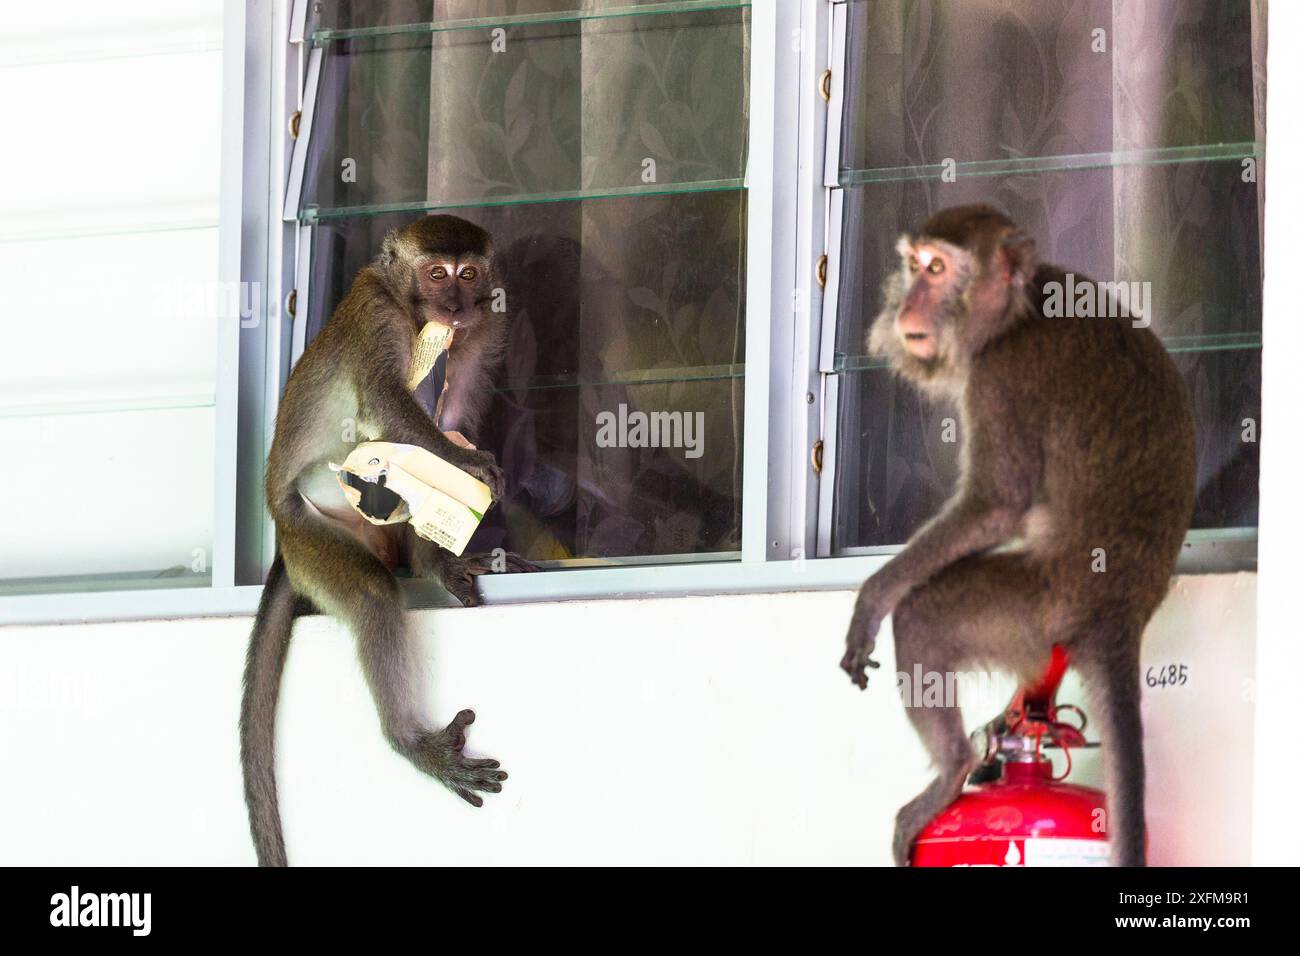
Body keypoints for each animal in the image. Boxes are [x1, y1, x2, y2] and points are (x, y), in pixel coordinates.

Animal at [241, 214, 528, 867]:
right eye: (437, 273)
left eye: (468, 274)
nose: (453, 306)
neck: (411, 307)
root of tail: (284, 545)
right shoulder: (376, 313)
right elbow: (388, 404)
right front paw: (468, 463)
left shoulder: (483, 328)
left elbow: (451, 410)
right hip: (312, 539)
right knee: (371, 591)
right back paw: (409, 741)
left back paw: (431, 565)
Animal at [840, 205, 1196, 867]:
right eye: (913, 265)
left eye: (937, 269)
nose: (907, 305)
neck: (1017, 311)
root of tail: (1122, 612)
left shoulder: (1002, 376)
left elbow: (996, 503)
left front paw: (875, 595)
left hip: (1036, 612)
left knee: (924, 617)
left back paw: (953, 767)